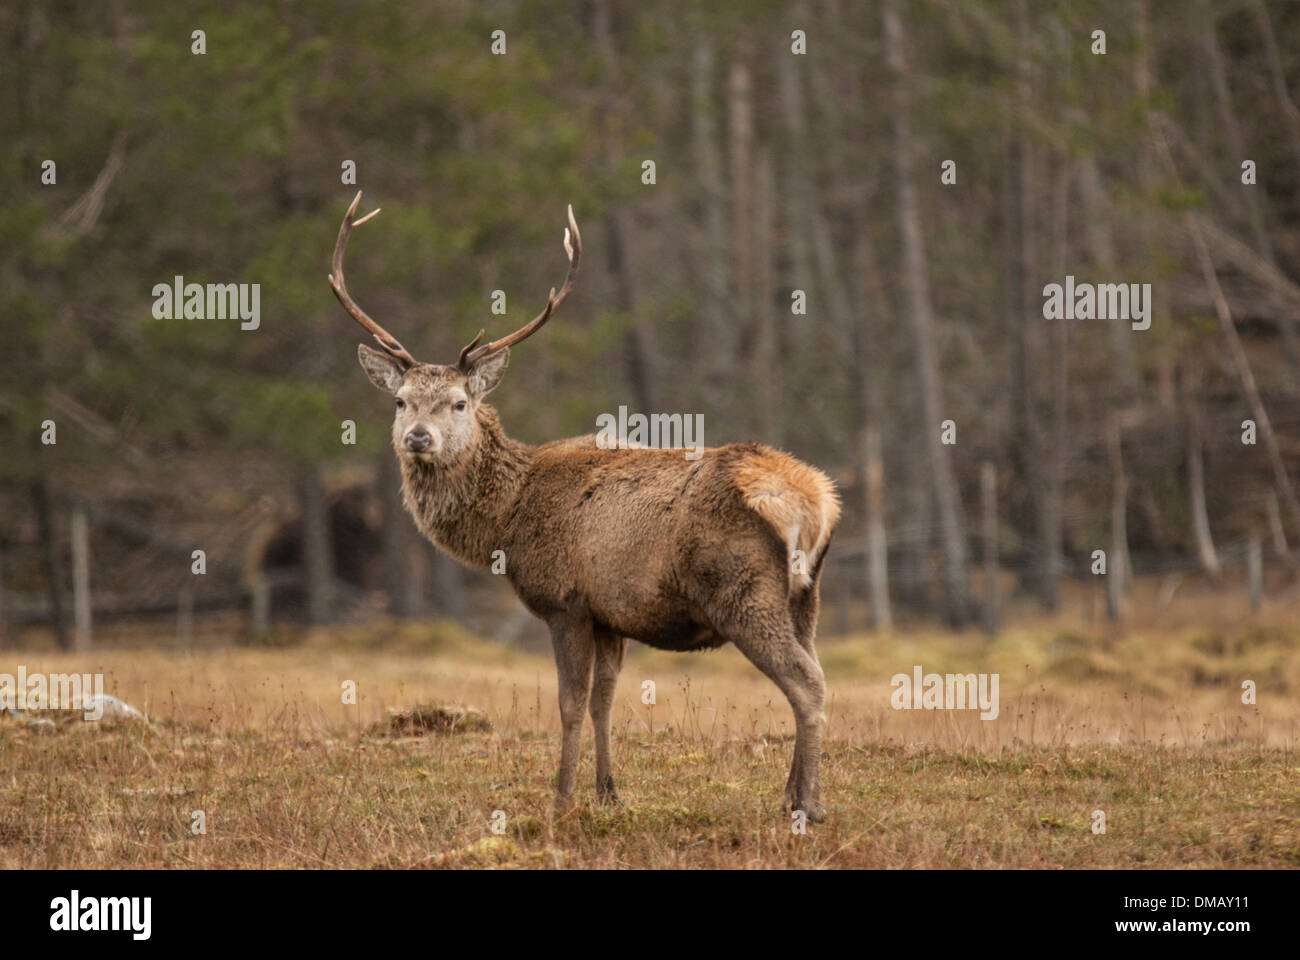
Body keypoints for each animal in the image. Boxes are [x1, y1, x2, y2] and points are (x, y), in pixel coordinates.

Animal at [329, 192, 841, 820]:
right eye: (400, 401)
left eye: (458, 403)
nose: (417, 438)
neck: (507, 518)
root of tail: (816, 501)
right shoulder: (609, 614)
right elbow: (605, 701)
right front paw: (608, 792)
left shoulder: (565, 600)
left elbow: (569, 703)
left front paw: (562, 798)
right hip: (807, 596)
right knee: (814, 669)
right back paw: (791, 794)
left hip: (742, 590)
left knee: (807, 683)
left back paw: (809, 805)